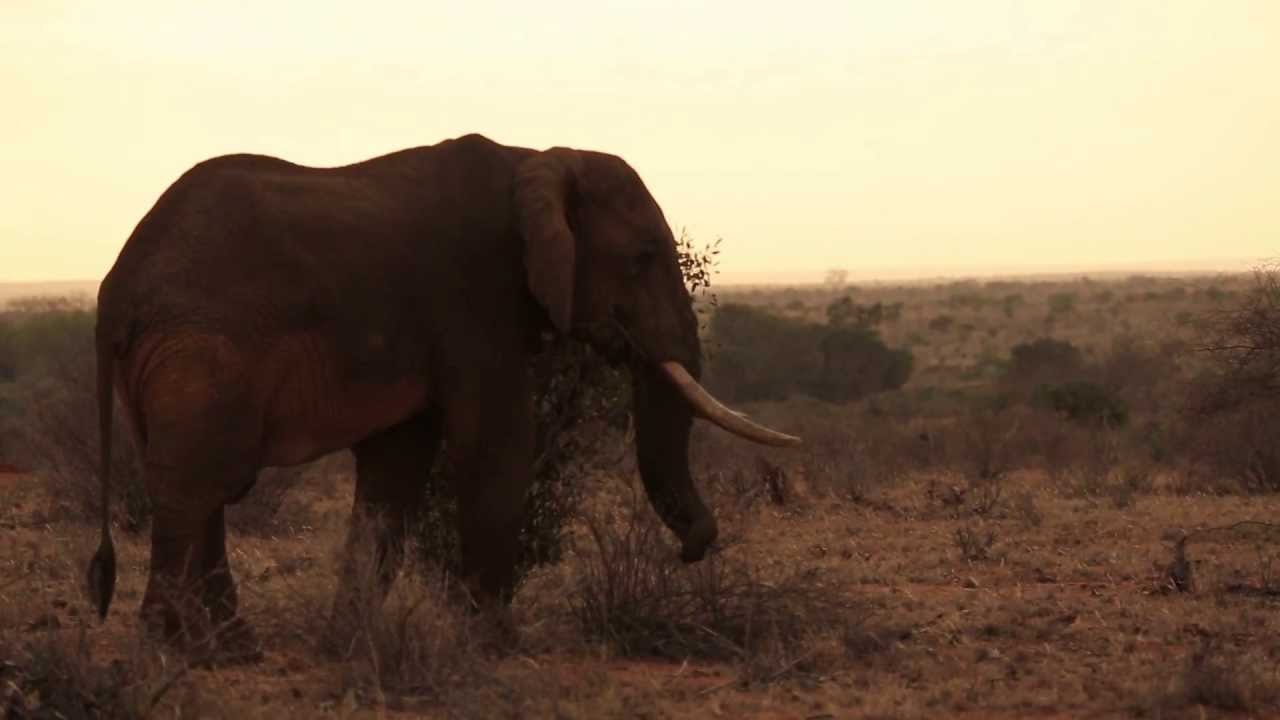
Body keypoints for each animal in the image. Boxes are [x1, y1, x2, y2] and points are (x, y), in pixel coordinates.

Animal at [85, 133, 800, 660]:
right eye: (644, 257)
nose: (690, 551)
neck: (537, 157)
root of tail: (114, 285)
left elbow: (395, 472)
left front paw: (350, 644)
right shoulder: (477, 301)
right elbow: (495, 448)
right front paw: (496, 647)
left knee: (204, 480)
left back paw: (232, 652)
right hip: (200, 350)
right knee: (197, 482)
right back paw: (172, 654)